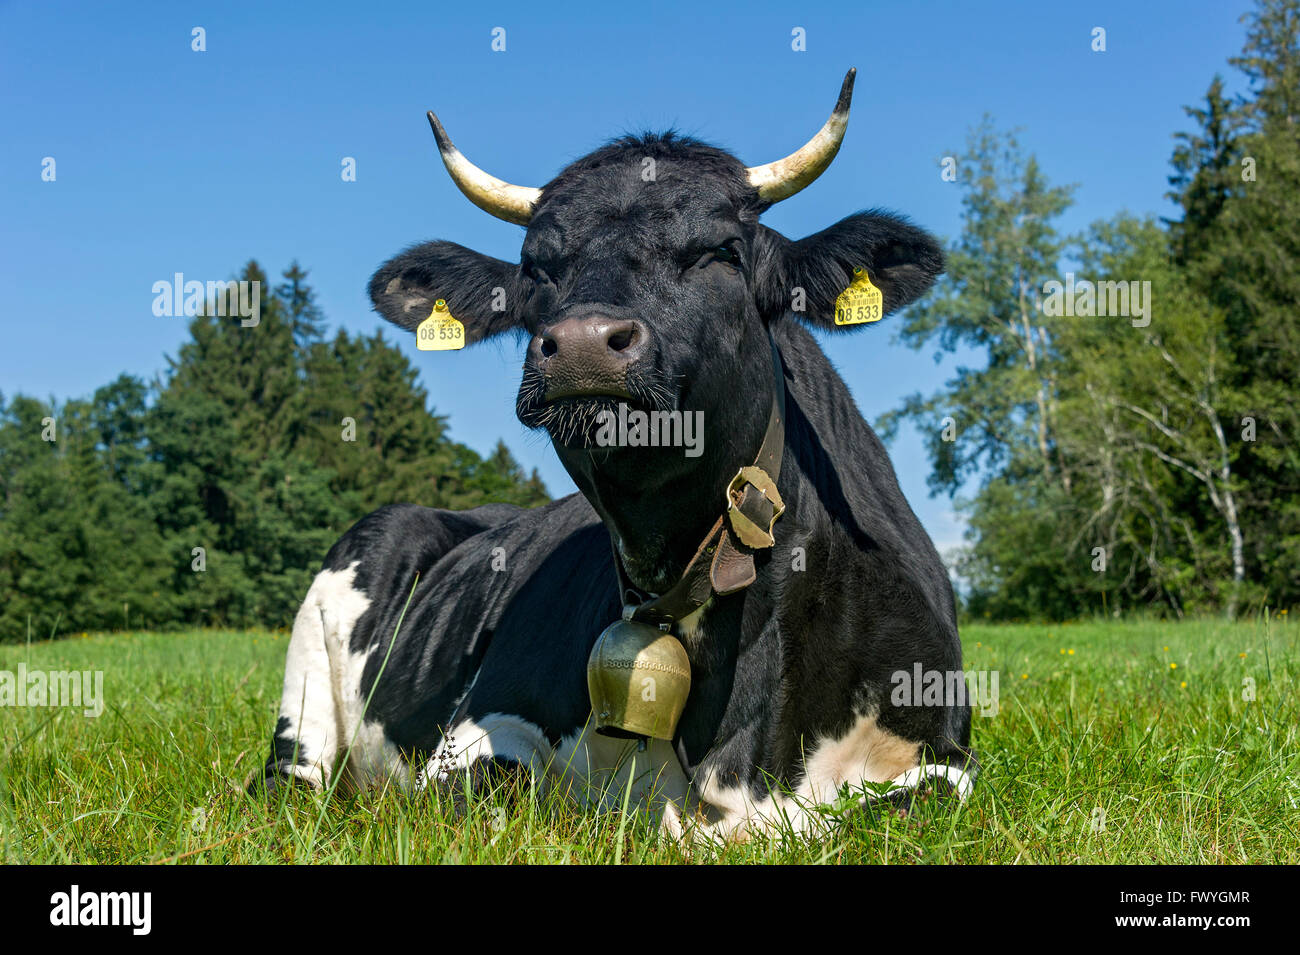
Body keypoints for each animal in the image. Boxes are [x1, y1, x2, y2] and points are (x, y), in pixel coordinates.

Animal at [252, 69, 977, 843]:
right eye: (535, 266)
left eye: (723, 250)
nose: (582, 344)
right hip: (308, 689)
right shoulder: (472, 735)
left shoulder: (944, 752)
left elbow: (915, 801)